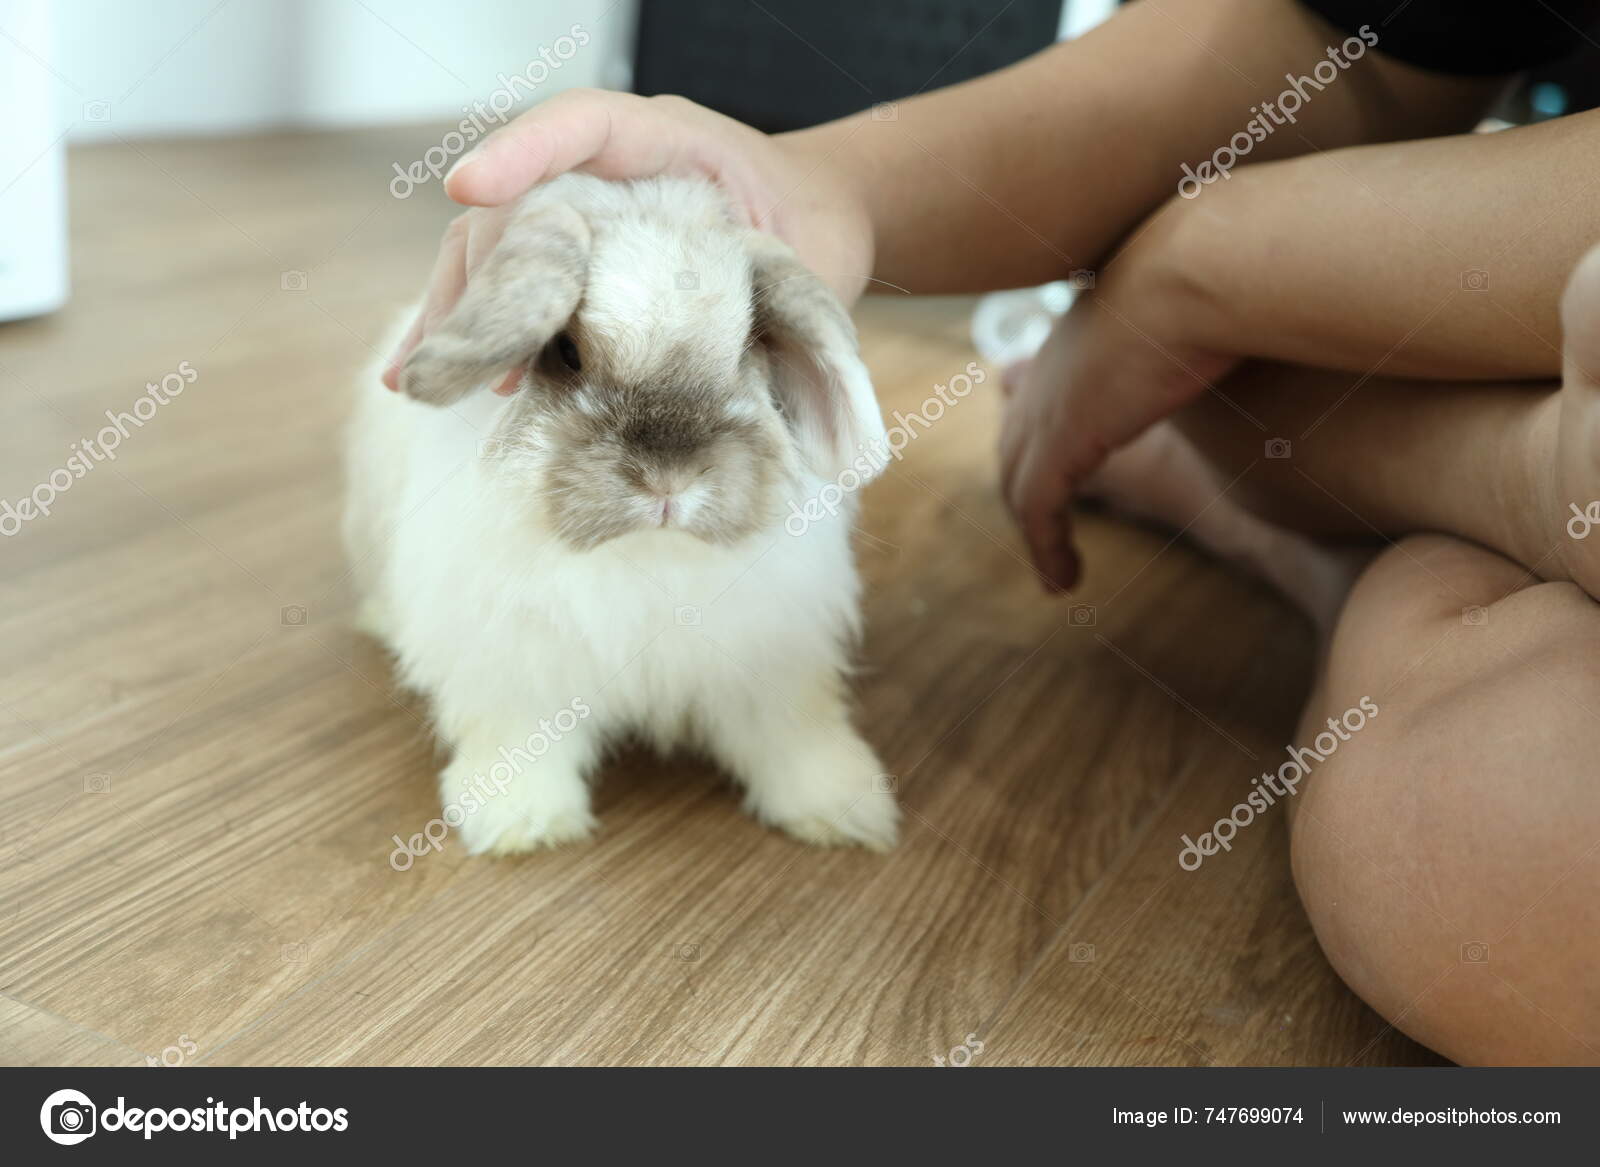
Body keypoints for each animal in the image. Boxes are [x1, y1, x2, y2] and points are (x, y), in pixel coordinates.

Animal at [345, 172, 899, 856]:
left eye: (748, 348)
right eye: (566, 351)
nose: (667, 483)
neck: (645, 554)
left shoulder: (775, 659)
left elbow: (794, 729)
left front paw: (843, 808)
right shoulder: (513, 663)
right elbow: (516, 737)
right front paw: (520, 821)